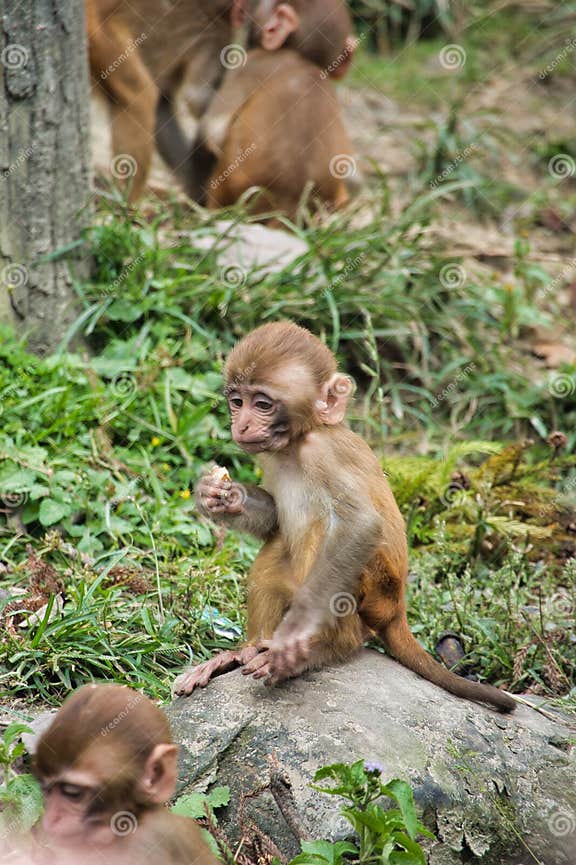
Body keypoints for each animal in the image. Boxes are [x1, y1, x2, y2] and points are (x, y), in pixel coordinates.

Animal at [174, 322, 516, 714]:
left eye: (262, 404)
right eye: (236, 401)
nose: (241, 425)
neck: (299, 442)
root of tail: (398, 610)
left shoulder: (325, 454)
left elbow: (361, 526)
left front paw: (296, 635)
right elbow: (274, 520)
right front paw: (219, 496)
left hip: (376, 596)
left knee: (330, 536)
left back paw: (325, 646)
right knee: (278, 549)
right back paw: (246, 650)